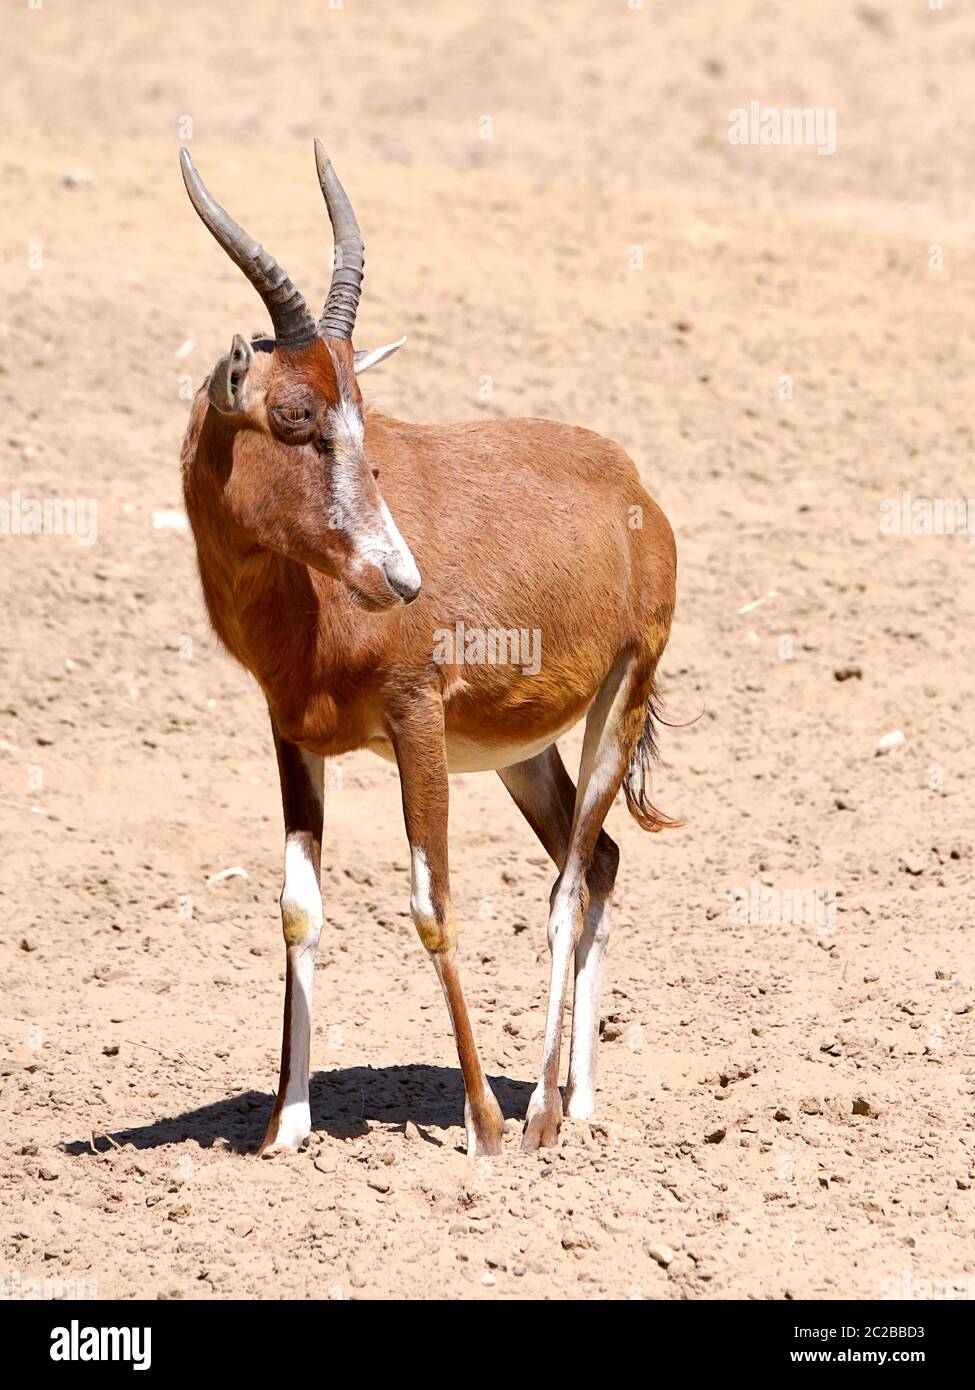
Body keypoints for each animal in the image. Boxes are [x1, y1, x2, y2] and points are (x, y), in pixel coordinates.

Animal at [178, 142, 677, 1157]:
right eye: (295, 415)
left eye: (364, 412)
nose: (400, 579)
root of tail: (629, 483)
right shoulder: (291, 734)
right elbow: (298, 909)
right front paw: (283, 1129)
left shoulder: (416, 723)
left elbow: (432, 903)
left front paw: (480, 1125)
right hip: (521, 753)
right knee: (602, 860)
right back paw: (581, 1102)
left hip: (621, 696)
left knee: (569, 886)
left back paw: (537, 1117)